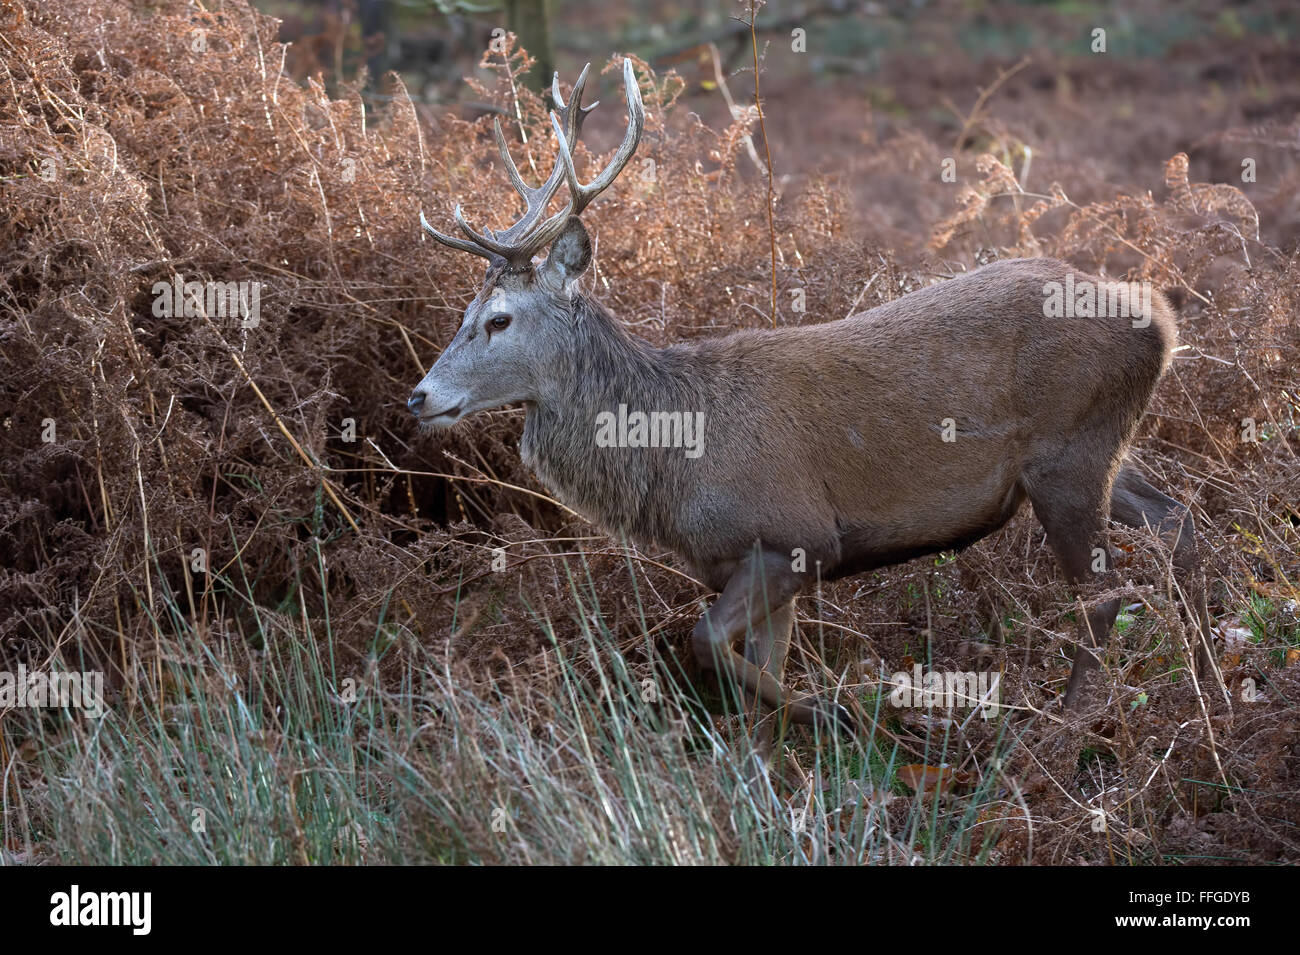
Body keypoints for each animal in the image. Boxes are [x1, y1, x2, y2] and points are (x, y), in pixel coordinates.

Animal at [409, 59, 1219, 742]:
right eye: (464, 312)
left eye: (498, 319)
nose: (419, 397)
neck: (674, 462)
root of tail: (1159, 317)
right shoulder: (751, 562)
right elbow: (755, 683)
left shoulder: (793, 533)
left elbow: (705, 642)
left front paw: (848, 713)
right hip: (1104, 442)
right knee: (1178, 521)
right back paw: (1208, 681)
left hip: (1067, 454)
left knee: (1101, 594)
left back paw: (1065, 725)